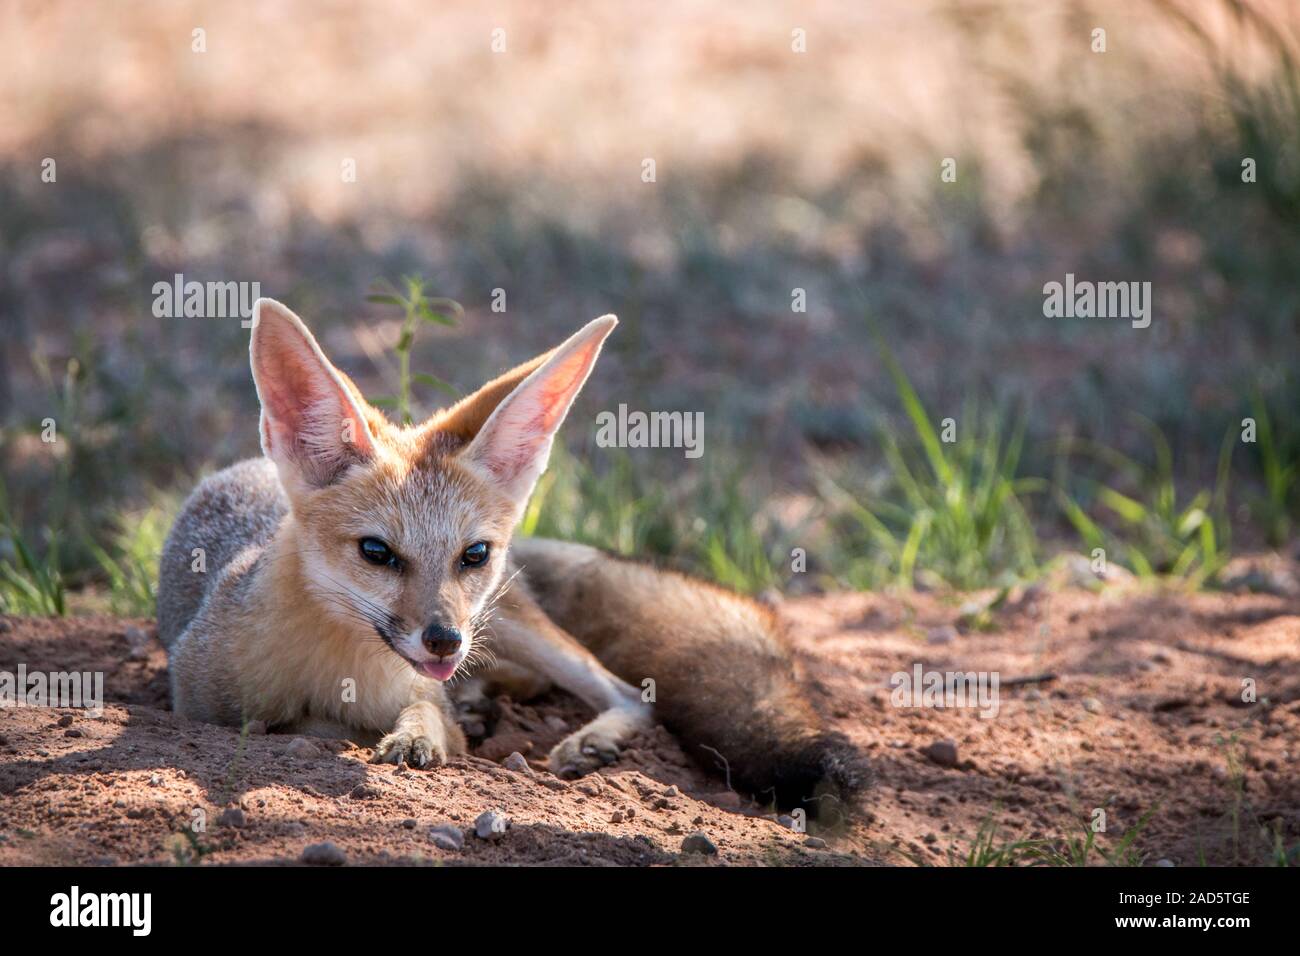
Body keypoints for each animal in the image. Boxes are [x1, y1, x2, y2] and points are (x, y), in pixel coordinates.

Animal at [157, 298, 865, 814]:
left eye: (473, 553)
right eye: (376, 552)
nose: (442, 640)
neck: (339, 672)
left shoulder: (428, 679)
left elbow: (426, 714)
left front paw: (416, 735)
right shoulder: (195, 703)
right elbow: (296, 724)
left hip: (517, 627)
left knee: (628, 693)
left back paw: (583, 738)